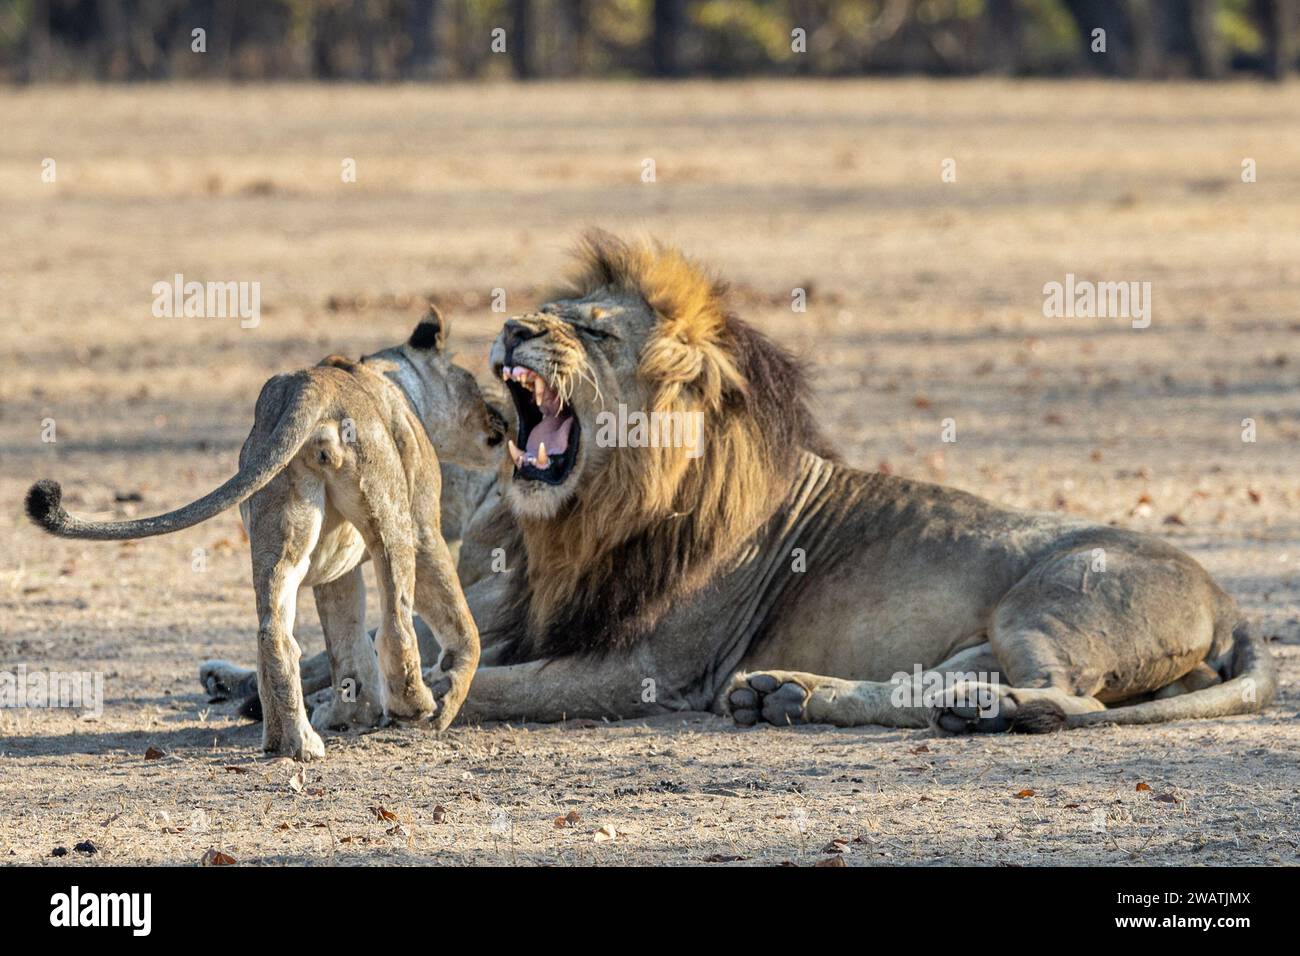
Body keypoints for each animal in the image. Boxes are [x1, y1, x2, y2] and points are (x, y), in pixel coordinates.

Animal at [28, 307, 505, 760]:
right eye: (473, 384)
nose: (500, 421)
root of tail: (310, 385)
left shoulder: (336, 570)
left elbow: (347, 645)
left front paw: (350, 715)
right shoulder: (424, 527)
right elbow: (459, 622)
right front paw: (446, 694)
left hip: (279, 527)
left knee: (274, 633)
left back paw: (291, 741)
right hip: (391, 518)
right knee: (395, 624)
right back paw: (413, 705)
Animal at [203, 232, 1276, 735]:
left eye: (592, 330)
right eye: (544, 310)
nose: (511, 328)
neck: (582, 518)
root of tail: (1228, 598)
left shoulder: (635, 669)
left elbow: (487, 685)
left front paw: (339, 703)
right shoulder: (521, 613)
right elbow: (385, 642)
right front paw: (248, 680)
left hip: (1048, 601)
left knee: (1062, 698)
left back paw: (974, 715)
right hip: (993, 635)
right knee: (948, 679)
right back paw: (791, 695)